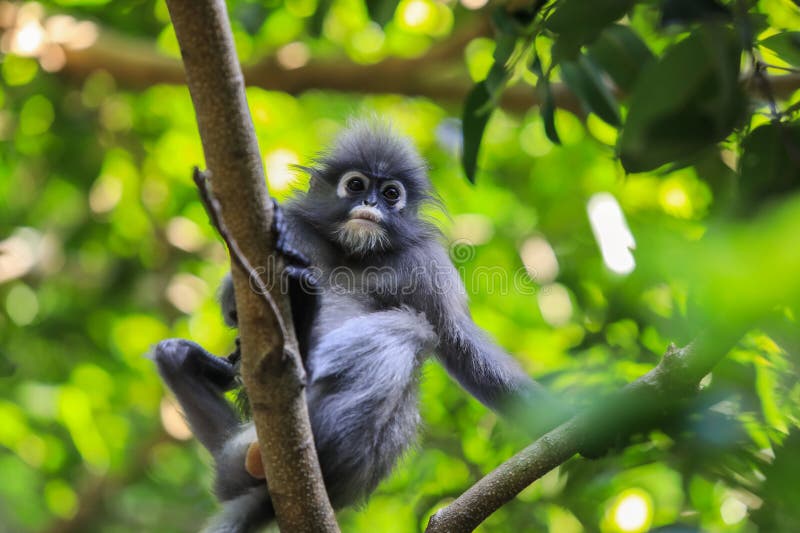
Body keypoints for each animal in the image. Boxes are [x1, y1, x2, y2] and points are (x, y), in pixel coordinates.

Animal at [154, 119, 564, 532]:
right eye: (355, 185)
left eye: (390, 193)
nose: (370, 204)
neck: (351, 252)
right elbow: (230, 304)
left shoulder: (424, 262)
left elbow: (458, 340)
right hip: (238, 455)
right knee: (173, 355)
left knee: (410, 329)